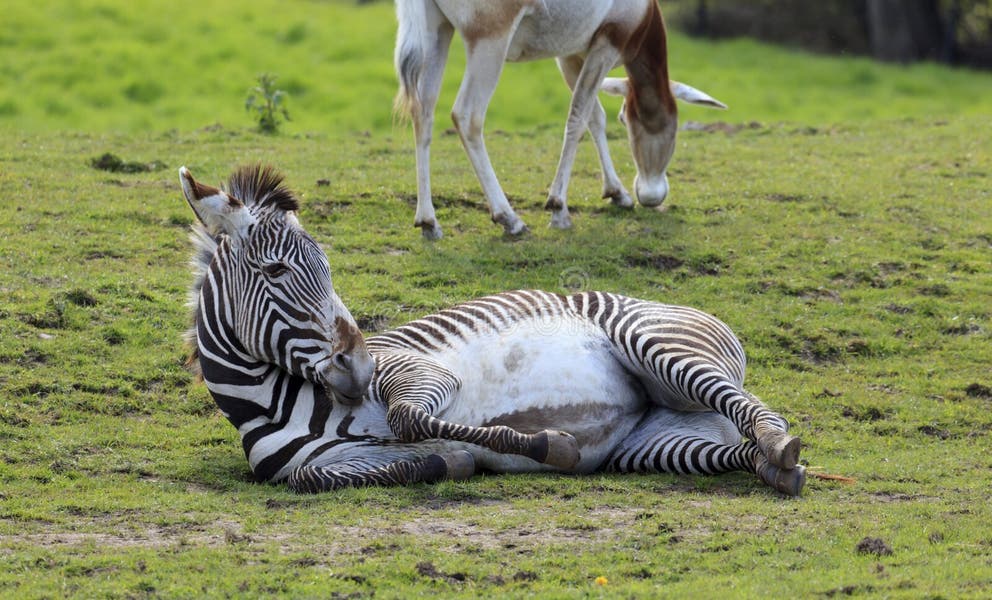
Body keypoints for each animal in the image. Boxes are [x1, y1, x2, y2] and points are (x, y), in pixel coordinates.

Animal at [180, 165, 806, 496]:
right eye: (276, 271)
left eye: (327, 267)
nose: (362, 367)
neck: (282, 403)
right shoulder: (325, 469)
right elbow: (325, 475)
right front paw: (447, 461)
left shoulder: (418, 371)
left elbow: (408, 419)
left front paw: (549, 445)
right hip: (657, 444)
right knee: (733, 449)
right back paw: (774, 466)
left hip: (653, 341)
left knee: (754, 410)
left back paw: (778, 444)